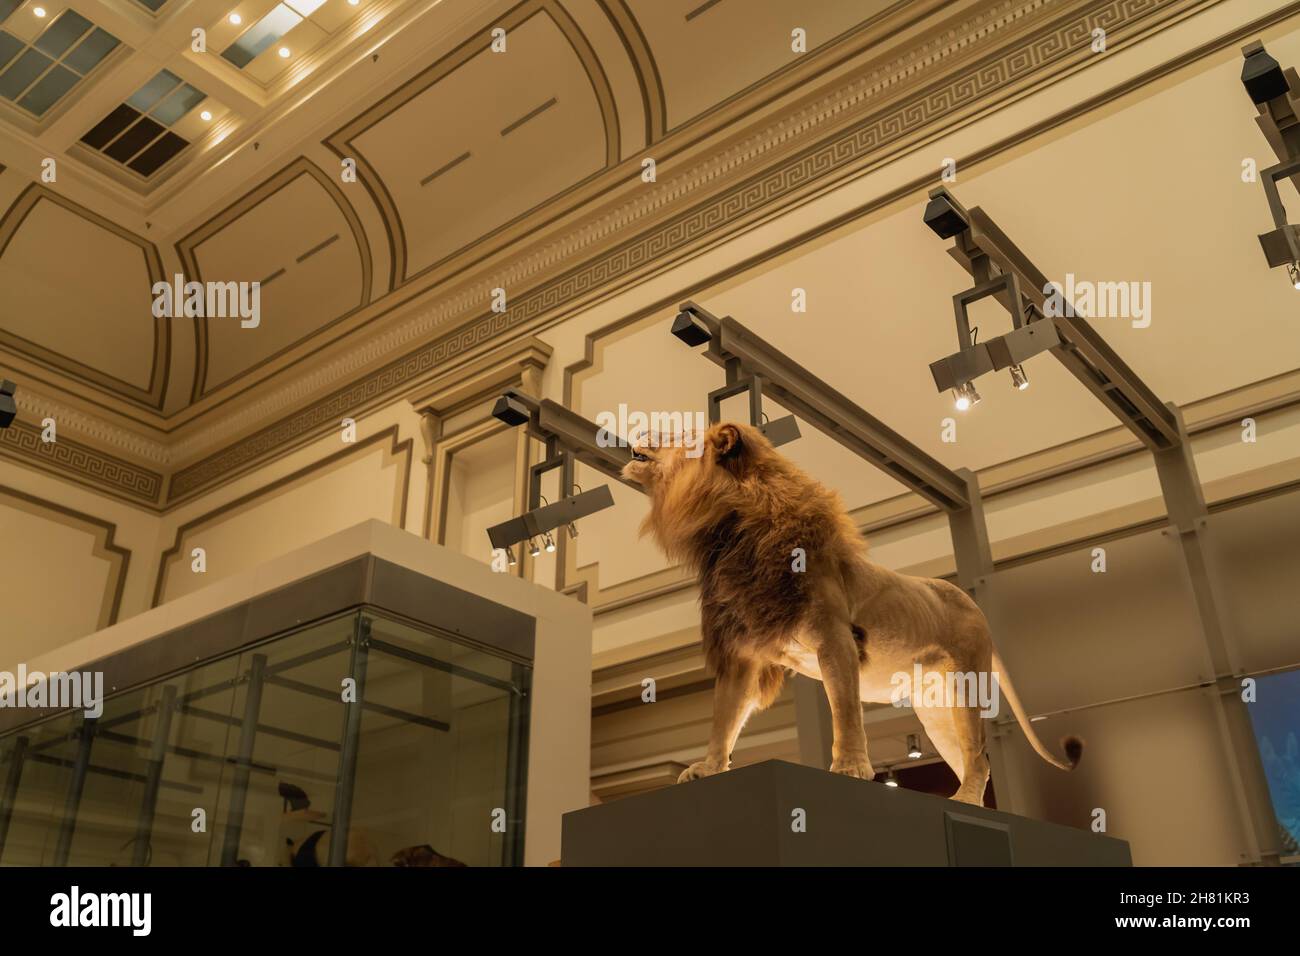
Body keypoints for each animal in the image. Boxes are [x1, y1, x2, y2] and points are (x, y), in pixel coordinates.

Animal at [621, 421, 1081, 805]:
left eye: (679, 433)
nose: (639, 429)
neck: (730, 533)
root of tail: (973, 601)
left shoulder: (834, 637)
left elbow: (845, 711)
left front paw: (850, 768)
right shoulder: (742, 654)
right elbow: (724, 716)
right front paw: (708, 768)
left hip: (967, 683)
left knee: (979, 756)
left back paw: (964, 802)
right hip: (935, 707)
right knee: (968, 760)